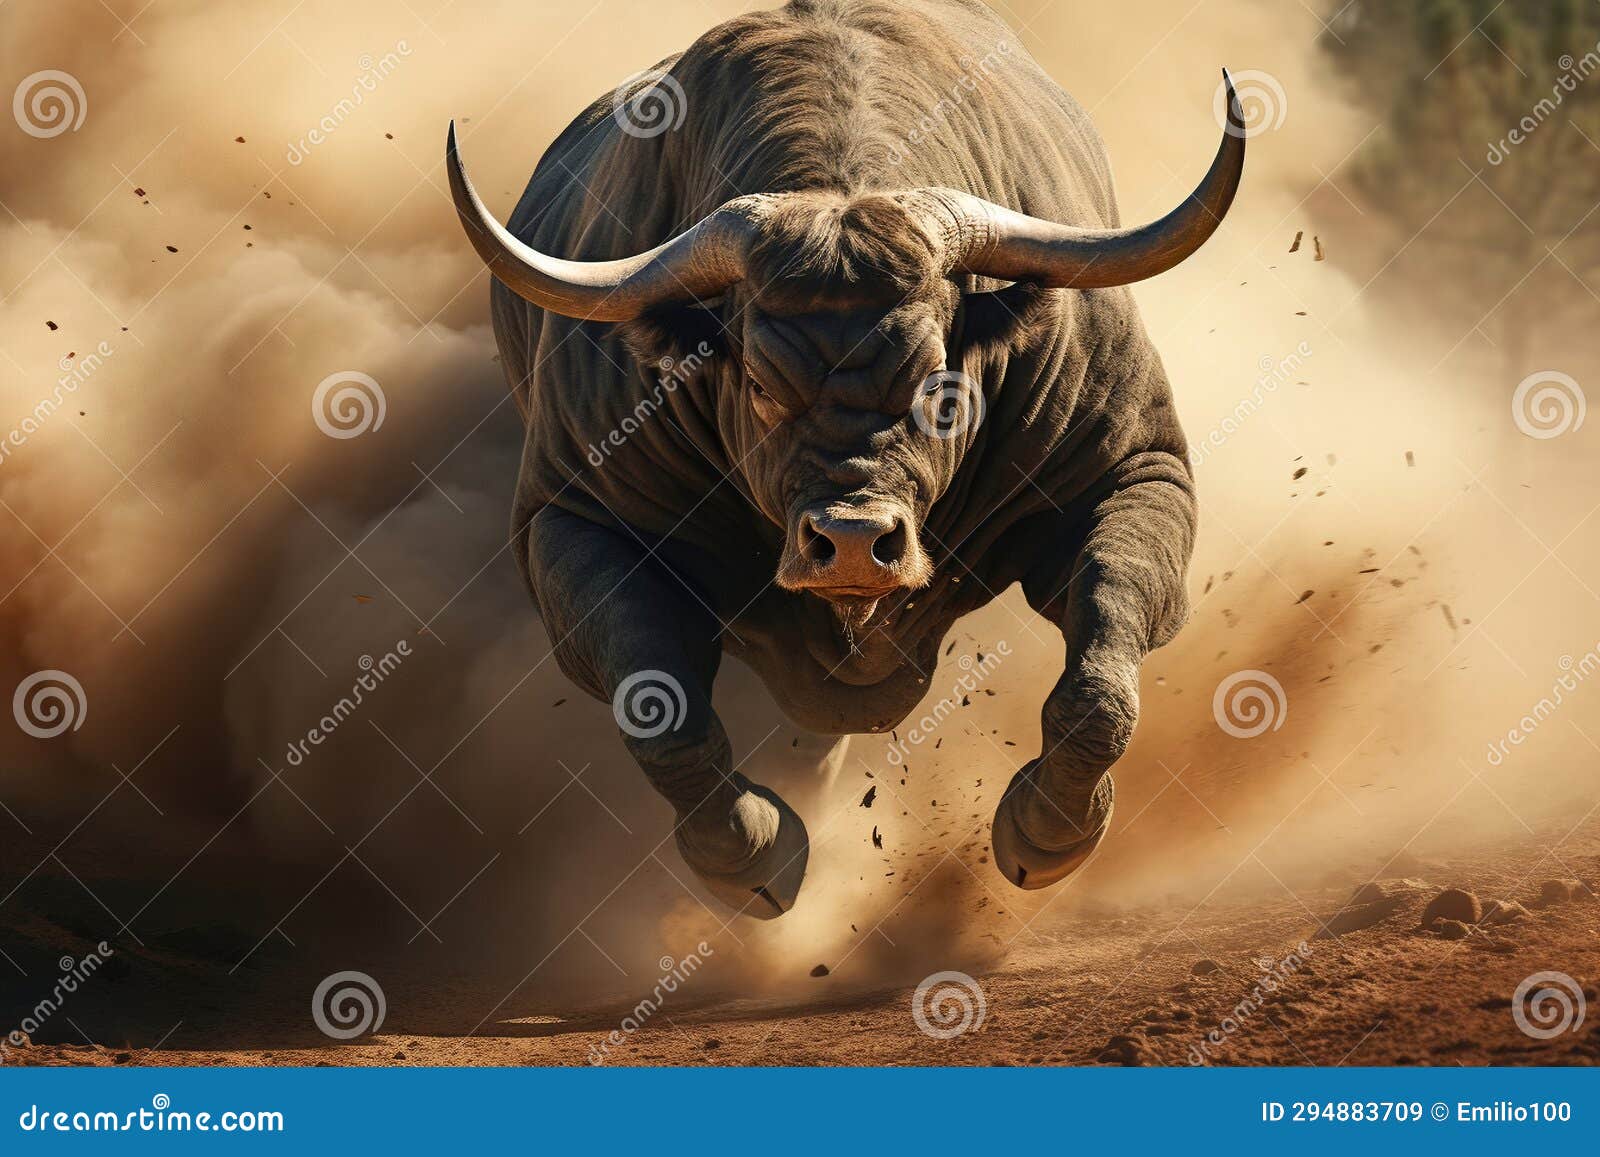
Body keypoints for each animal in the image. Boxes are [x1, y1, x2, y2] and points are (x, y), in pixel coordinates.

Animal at [447, 0, 1244, 918]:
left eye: (940, 384)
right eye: (758, 384)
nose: (855, 543)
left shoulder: (1135, 472)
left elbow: (1101, 674)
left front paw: (1044, 834)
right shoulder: (576, 522)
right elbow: (662, 716)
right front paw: (756, 856)